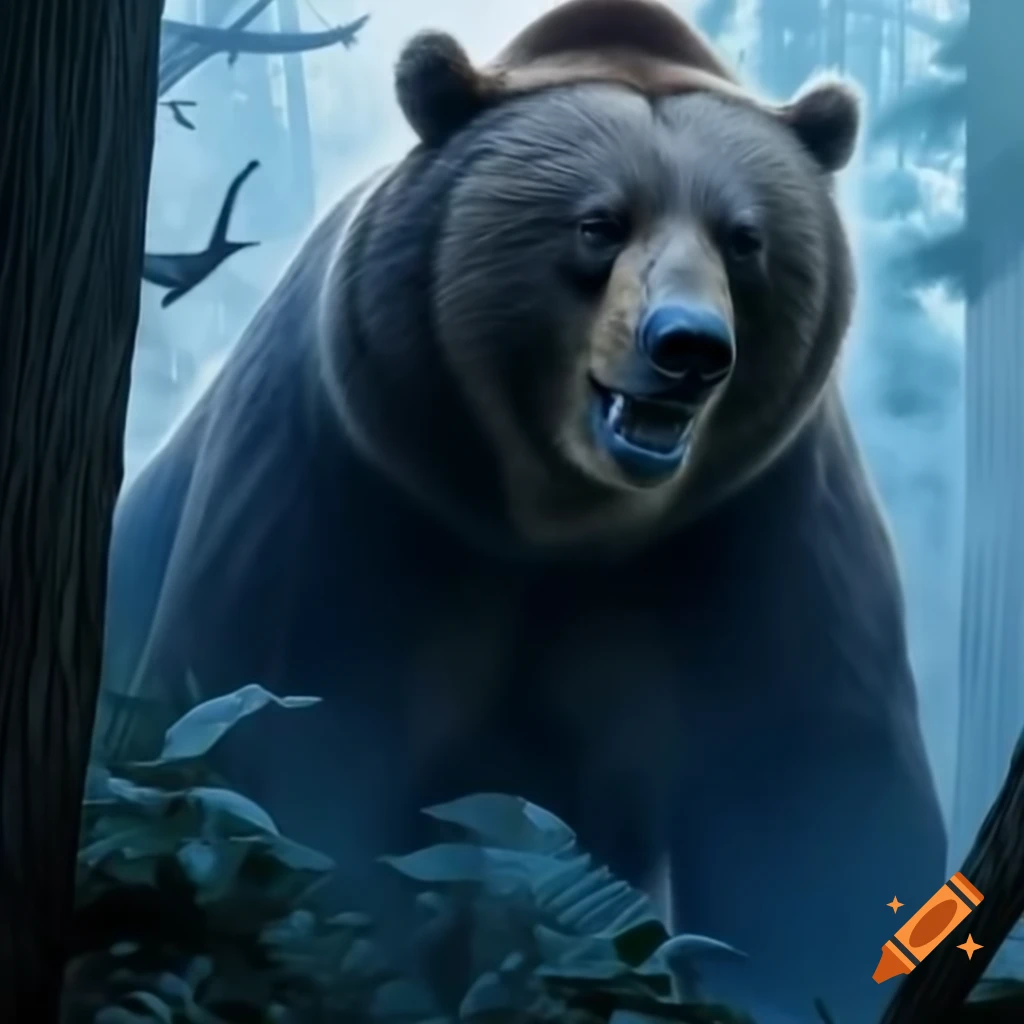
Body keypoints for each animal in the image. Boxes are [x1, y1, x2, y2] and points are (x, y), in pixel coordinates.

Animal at [96, 1, 946, 1020]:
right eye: (598, 224)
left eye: (743, 237)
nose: (689, 347)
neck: (556, 518)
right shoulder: (338, 488)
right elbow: (273, 743)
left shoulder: (758, 528)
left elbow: (812, 804)